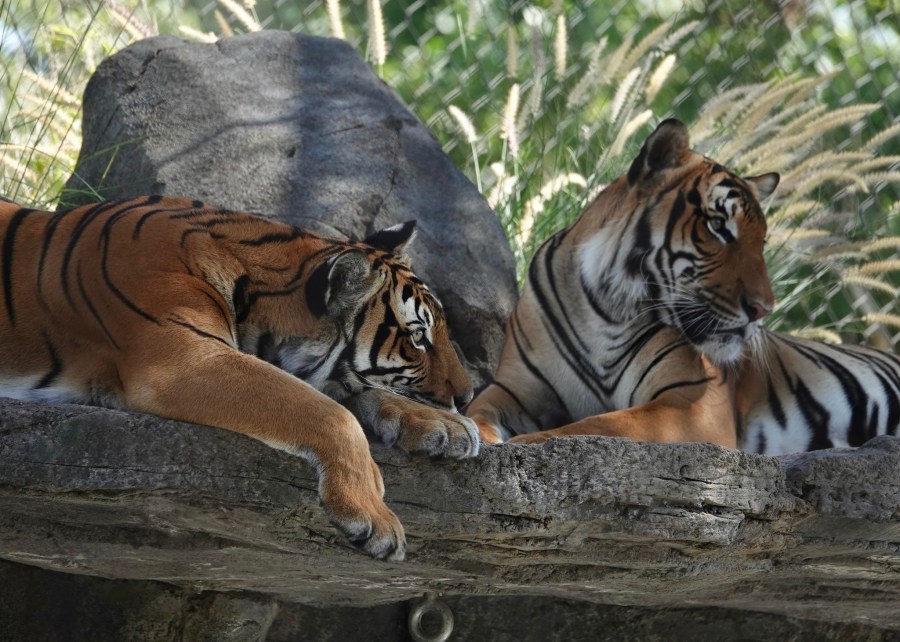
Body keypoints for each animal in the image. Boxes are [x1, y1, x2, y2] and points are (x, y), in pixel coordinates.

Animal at [0, 194, 481, 561]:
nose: (468, 395)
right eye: (417, 339)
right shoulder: (185, 358)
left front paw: (448, 426)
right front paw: (373, 513)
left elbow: (350, 390)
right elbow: (329, 413)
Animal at [467, 118, 900, 455]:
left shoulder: (691, 403)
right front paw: (478, 437)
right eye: (718, 226)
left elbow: (597, 426)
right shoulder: (513, 388)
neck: (606, 309)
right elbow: (476, 411)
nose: (763, 310)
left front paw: (525, 444)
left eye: (762, 242)